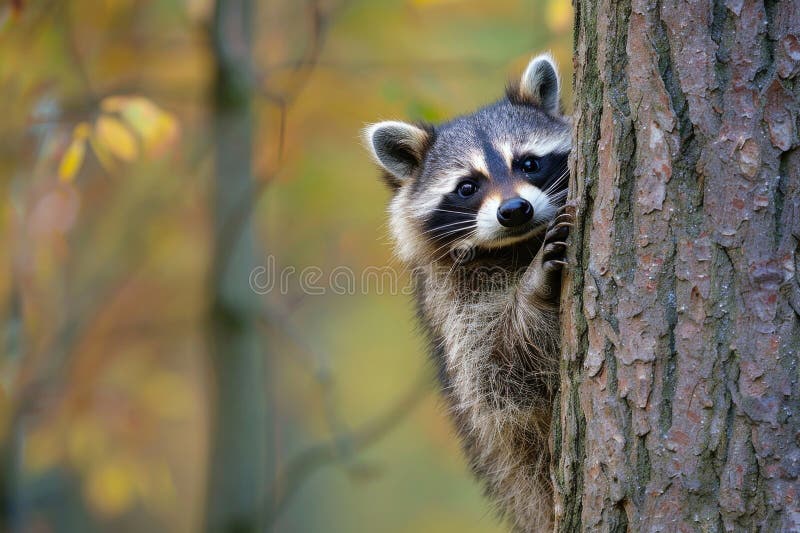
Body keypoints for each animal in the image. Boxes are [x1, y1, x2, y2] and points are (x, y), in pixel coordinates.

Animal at [365, 54, 572, 532]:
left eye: (528, 163)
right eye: (467, 187)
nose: (515, 210)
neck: (518, 246)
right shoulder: (453, 306)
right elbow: (500, 377)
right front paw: (533, 291)